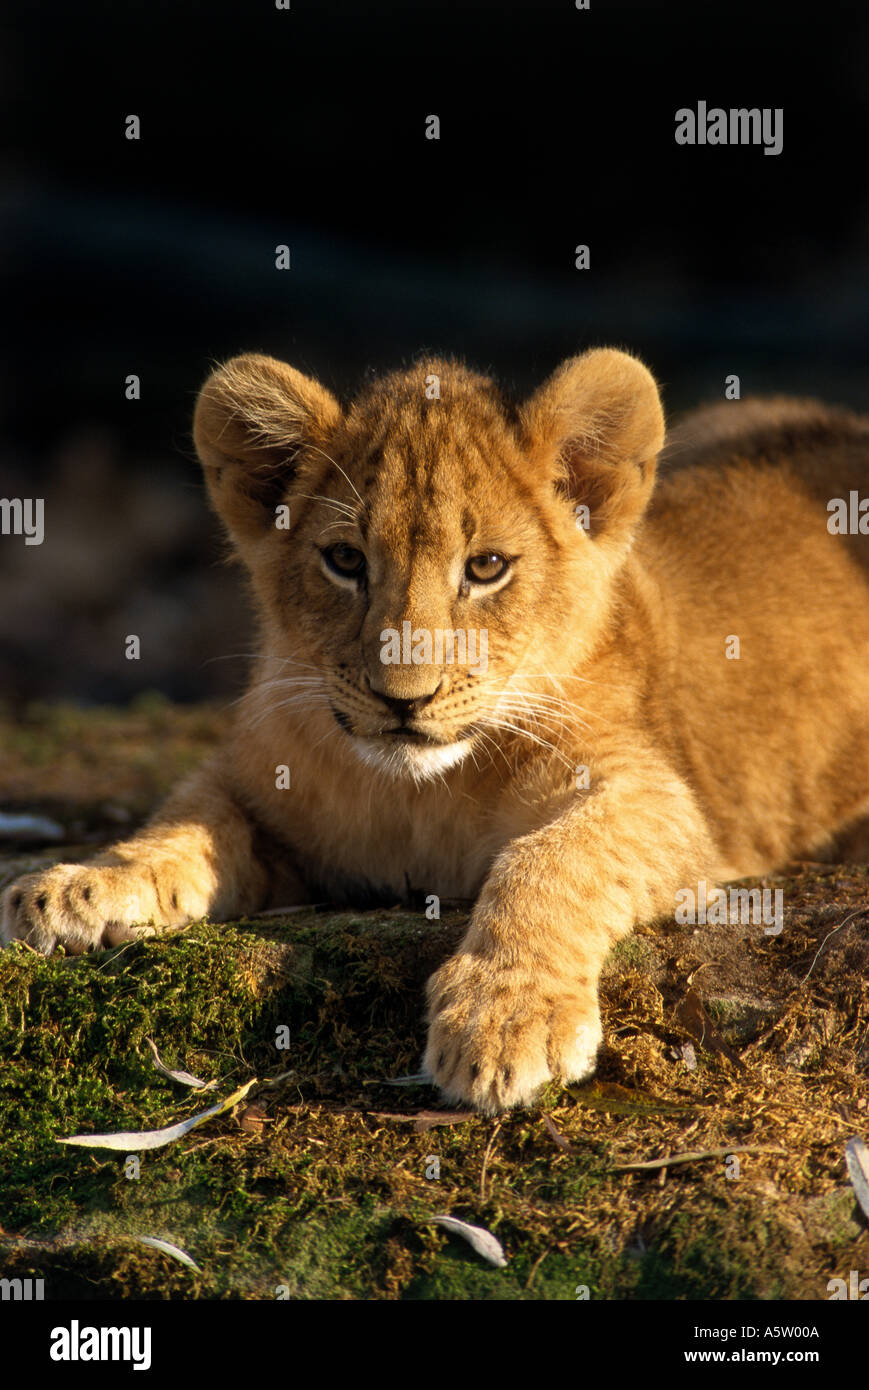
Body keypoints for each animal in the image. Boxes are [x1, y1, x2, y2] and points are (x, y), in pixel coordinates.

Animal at [4, 348, 869, 1114]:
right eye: (345, 560)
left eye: (485, 568)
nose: (402, 699)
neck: (417, 795)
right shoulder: (253, 775)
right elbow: (178, 824)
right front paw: (78, 886)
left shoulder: (662, 799)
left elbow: (549, 860)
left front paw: (506, 1017)